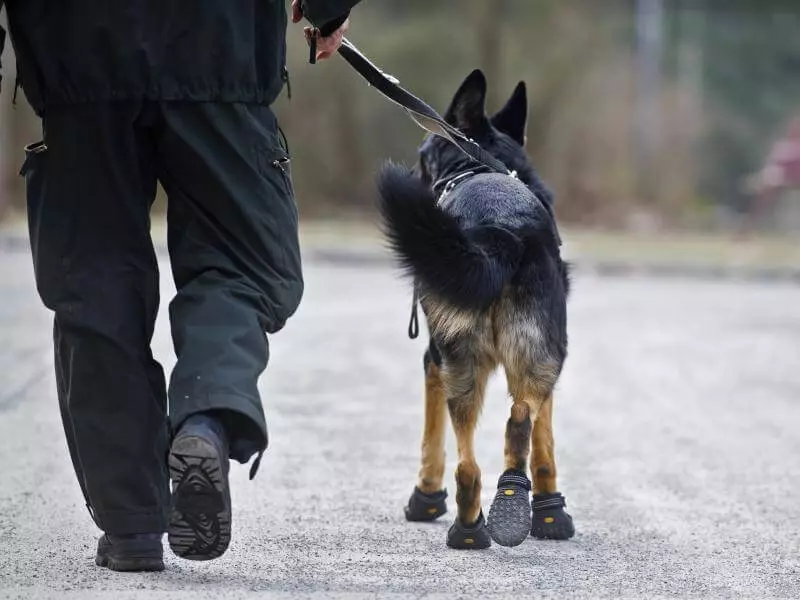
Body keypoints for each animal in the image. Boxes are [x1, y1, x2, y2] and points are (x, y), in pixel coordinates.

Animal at [376, 69, 576, 548]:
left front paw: (425, 498)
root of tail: (501, 228)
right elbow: (545, 445)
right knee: (515, 425)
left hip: (466, 362)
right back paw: (505, 510)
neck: (479, 166)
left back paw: (470, 527)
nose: (416, 176)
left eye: (422, 156)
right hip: (539, 356)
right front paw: (549, 514)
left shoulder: (432, 359)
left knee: (472, 460)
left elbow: (432, 439)